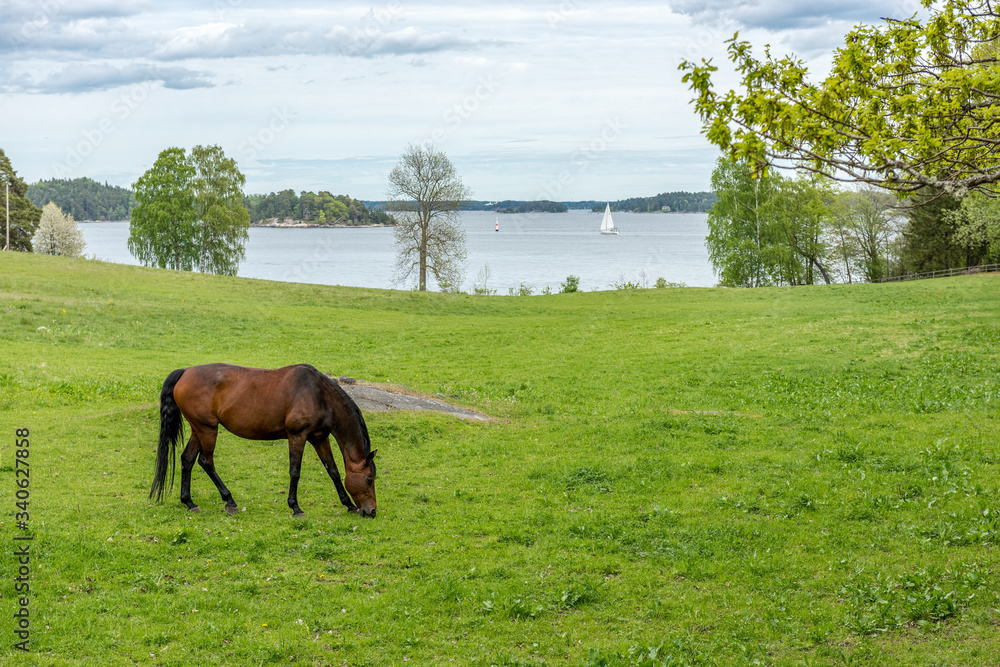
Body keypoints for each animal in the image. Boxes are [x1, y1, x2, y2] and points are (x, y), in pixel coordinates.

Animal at [149, 363, 377, 518]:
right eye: (369, 479)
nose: (372, 511)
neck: (318, 394)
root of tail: (185, 371)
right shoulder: (297, 436)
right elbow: (295, 471)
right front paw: (295, 507)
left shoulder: (319, 438)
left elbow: (333, 471)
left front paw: (348, 504)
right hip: (207, 430)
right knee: (206, 462)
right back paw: (229, 501)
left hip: (199, 429)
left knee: (187, 459)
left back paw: (189, 502)